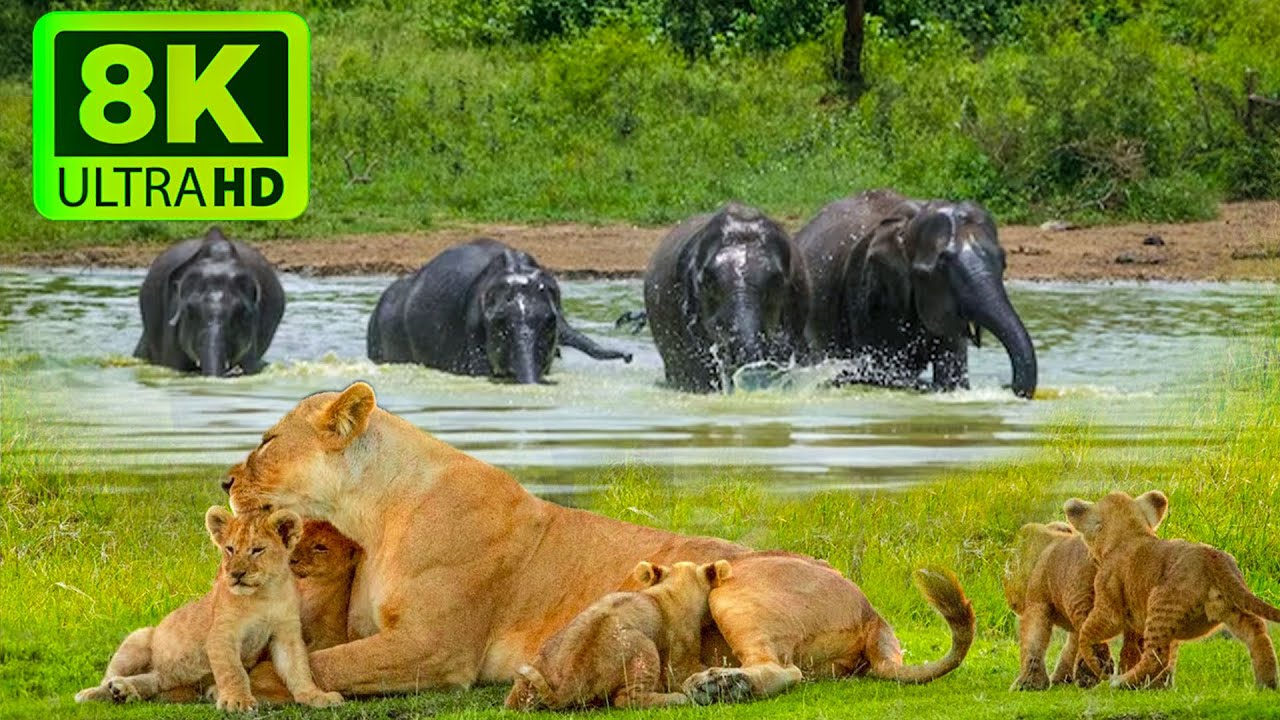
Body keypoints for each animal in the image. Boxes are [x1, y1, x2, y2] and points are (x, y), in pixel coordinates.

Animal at [796, 189, 1037, 399]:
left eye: (1004, 261)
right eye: (941, 266)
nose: (1005, 386)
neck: (908, 224)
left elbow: (951, 370)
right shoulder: (869, 291)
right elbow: (883, 370)